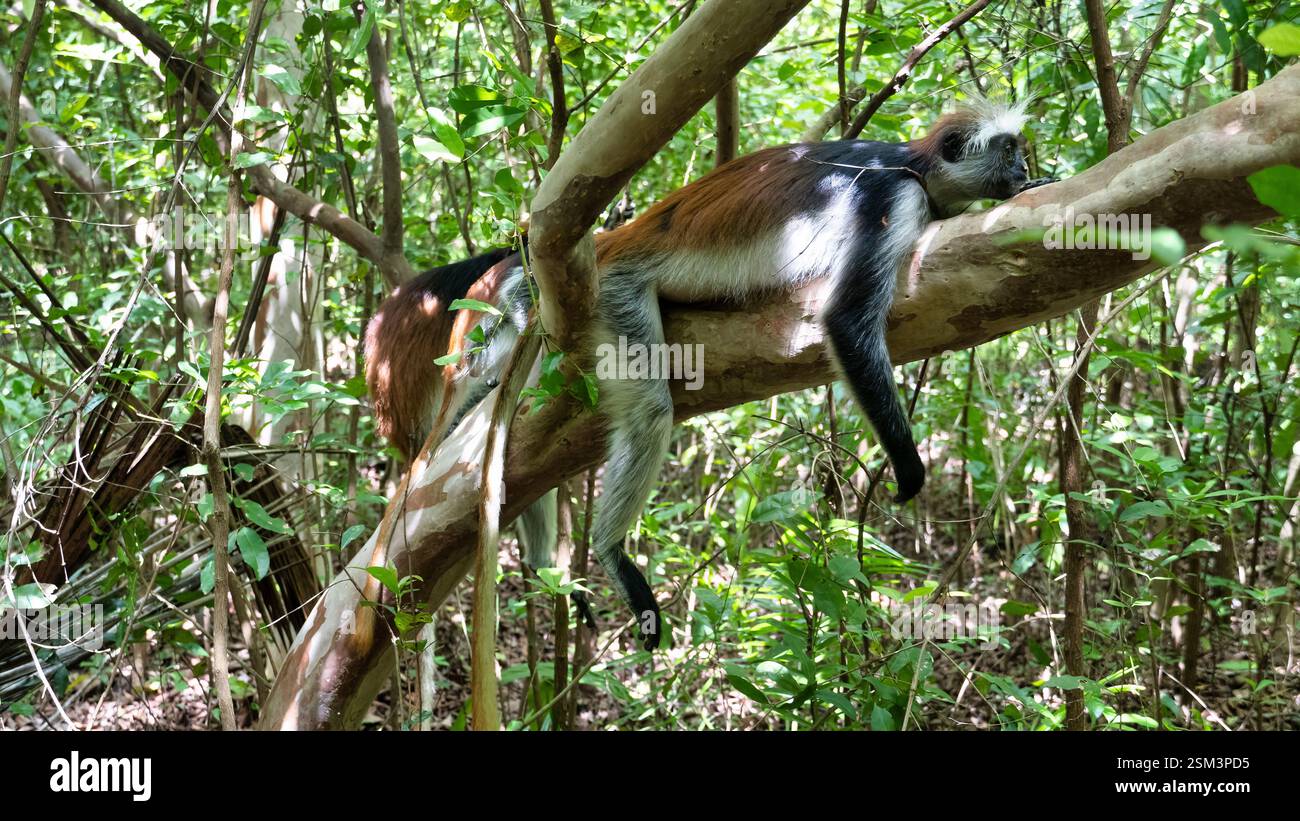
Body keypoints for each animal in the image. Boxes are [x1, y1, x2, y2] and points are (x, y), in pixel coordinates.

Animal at [366, 97, 1053, 652]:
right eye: (1008, 150)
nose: (1023, 173)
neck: (912, 162)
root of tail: (612, 243)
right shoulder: (893, 199)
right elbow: (849, 323)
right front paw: (908, 470)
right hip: (617, 293)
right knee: (648, 411)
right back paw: (611, 552)